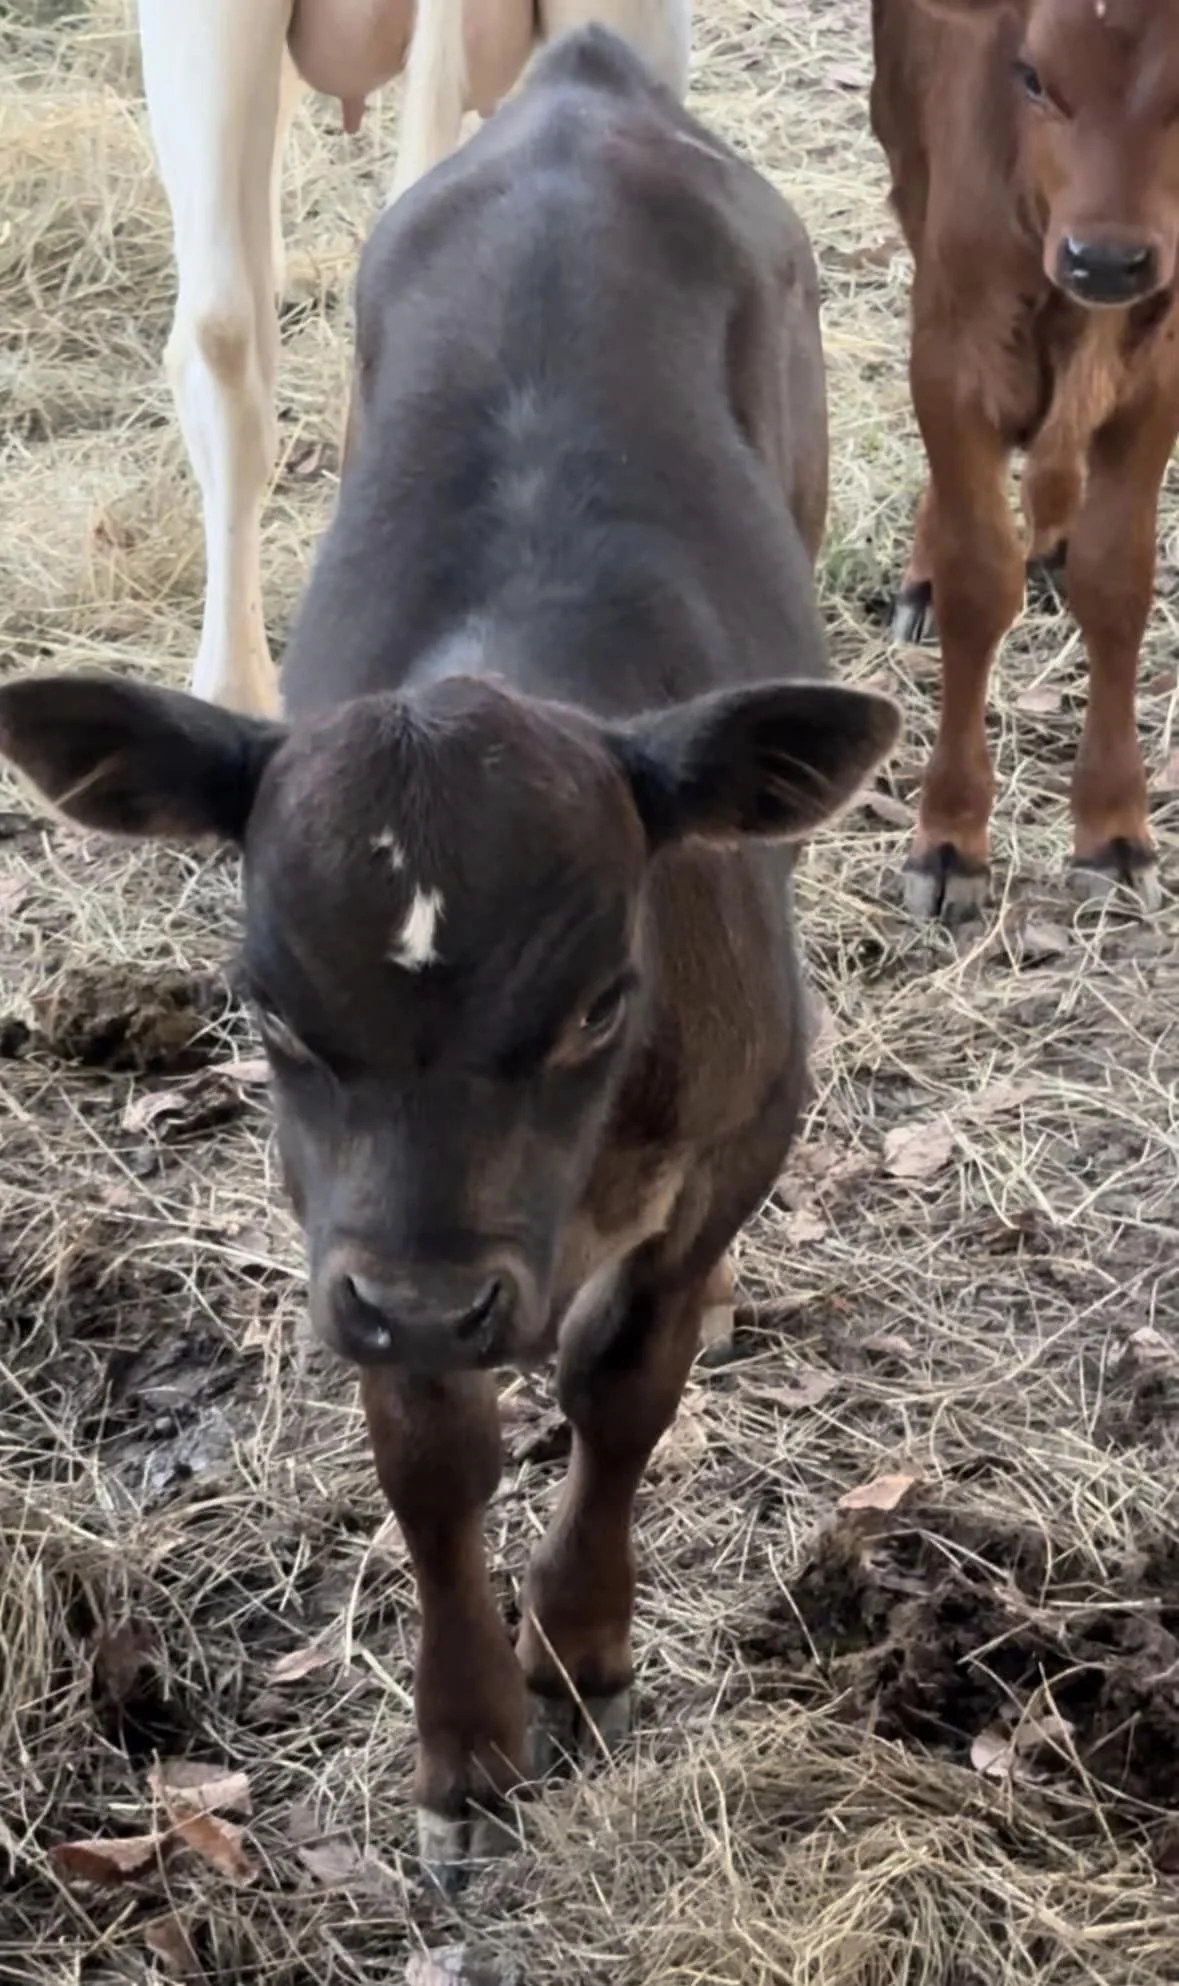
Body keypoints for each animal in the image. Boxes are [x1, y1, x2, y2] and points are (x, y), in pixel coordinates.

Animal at [870, 0, 1177, 922]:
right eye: (1032, 76)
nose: (1104, 260)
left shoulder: (1160, 371)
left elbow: (1116, 585)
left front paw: (1112, 829)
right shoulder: (951, 358)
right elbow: (977, 584)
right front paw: (948, 840)